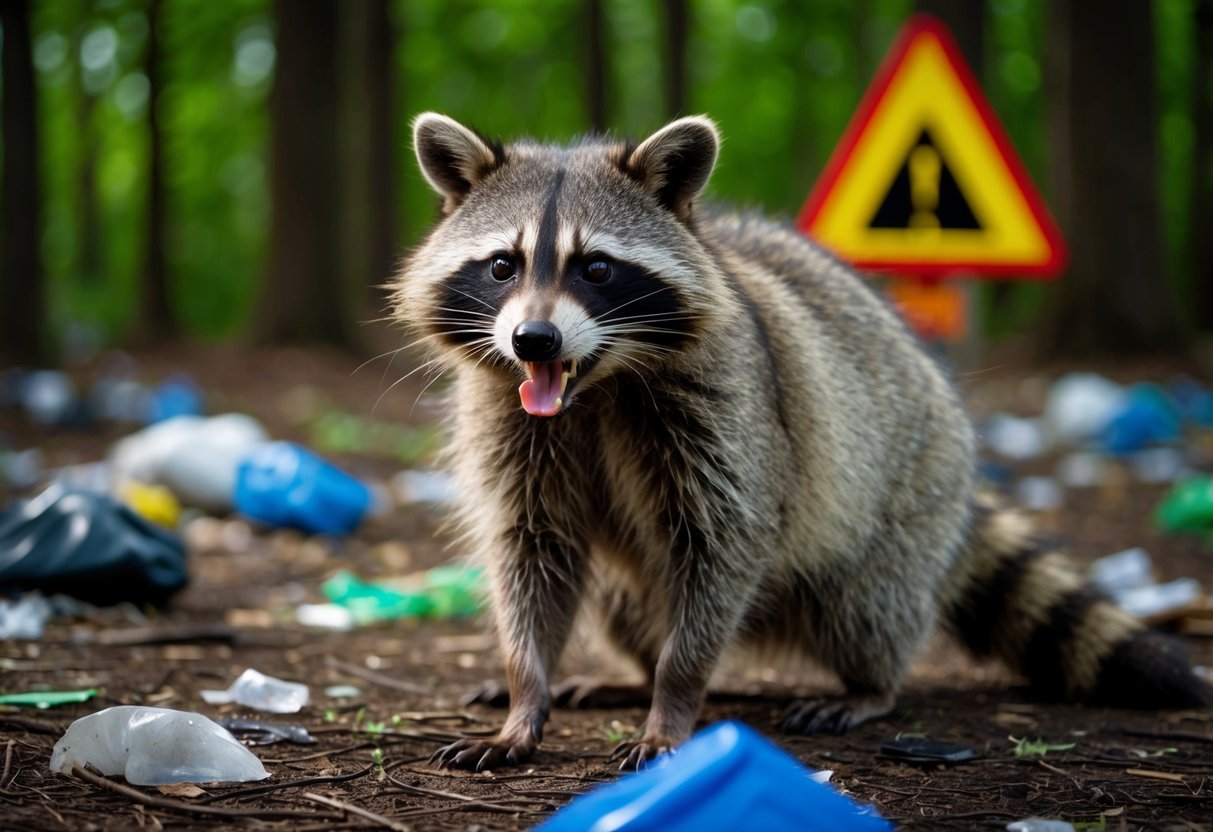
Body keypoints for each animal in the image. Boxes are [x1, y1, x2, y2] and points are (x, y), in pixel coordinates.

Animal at [393, 113, 1212, 771]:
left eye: (596, 267)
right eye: (502, 265)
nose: (534, 339)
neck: (597, 383)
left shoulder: (731, 418)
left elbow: (721, 549)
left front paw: (674, 696)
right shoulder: (510, 422)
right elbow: (531, 550)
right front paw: (524, 694)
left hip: (908, 501)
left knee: (866, 607)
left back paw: (868, 684)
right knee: (623, 602)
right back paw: (632, 670)